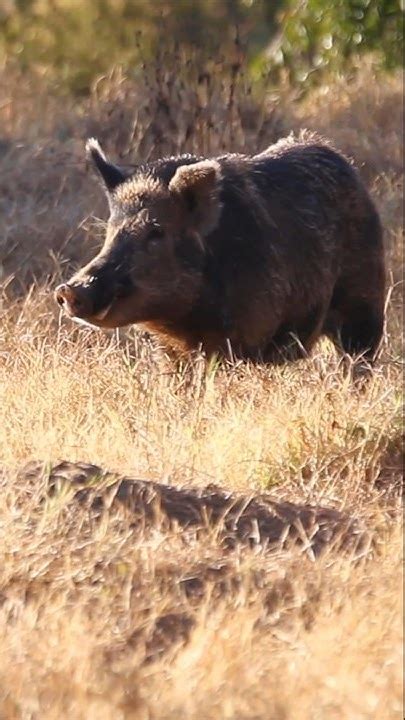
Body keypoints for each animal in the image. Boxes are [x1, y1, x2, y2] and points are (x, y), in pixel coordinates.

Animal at [55, 132, 385, 363]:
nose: (70, 289)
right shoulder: (170, 350)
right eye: (110, 230)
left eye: (156, 232)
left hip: (364, 303)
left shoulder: (240, 338)